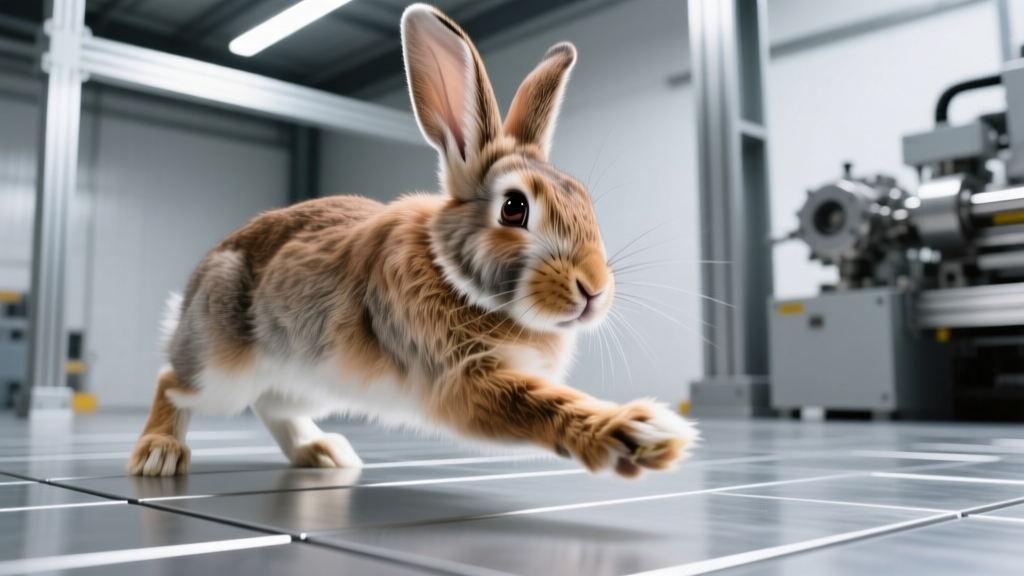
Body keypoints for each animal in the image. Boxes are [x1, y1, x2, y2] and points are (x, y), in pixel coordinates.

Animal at [128, 3, 699, 478]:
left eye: (583, 199)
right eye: (514, 208)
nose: (594, 289)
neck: (454, 275)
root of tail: (195, 288)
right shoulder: (460, 379)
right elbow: (538, 404)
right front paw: (641, 431)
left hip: (307, 380)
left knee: (271, 405)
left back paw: (323, 453)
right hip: (221, 368)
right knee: (172, 382)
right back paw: (158, 454)